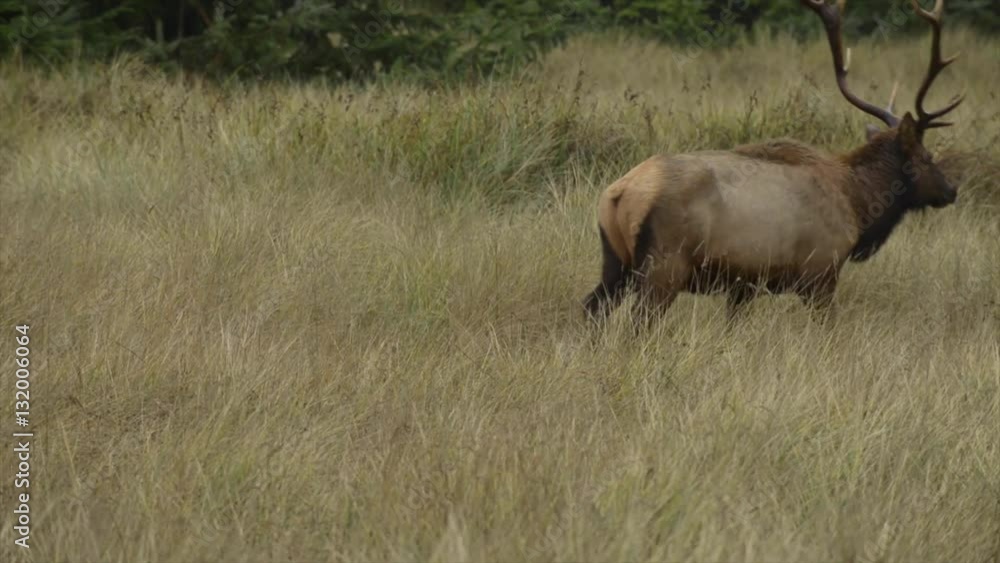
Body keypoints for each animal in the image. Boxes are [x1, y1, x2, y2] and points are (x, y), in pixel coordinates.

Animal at [583, 0, 964, 325]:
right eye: (927, 157)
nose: (951, 190)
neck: (857, 204)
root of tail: (618, 194)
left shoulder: (743, 285)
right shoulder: (820, 272)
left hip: (614, 262)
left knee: (592, 307)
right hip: (664, 265)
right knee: (637, 323)